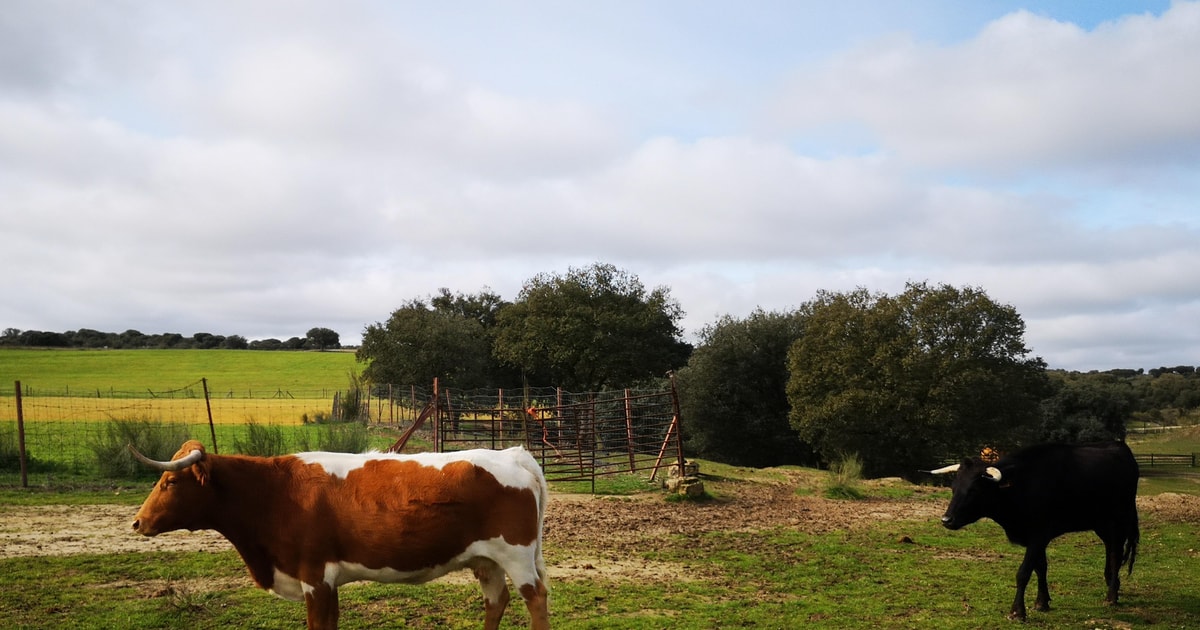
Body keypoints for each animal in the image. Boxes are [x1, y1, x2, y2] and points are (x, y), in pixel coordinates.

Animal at [130, 440, 550, 630]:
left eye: (170, 481)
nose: (137, 523)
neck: (274, 493)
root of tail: (513, 454)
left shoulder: (314, 577)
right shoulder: (326, 581)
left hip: (516, 555)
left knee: (535, 597)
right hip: (486, 559)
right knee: (496, 600)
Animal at [928, 441, 1139, 620]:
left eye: (974, 490)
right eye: (954, 488)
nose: (946, 520)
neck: (1022, 487)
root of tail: (1119, 446)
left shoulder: (1039, 535)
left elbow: (1023, 572)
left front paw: (1017, 612)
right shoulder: (1034, 538)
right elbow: (1040, 568)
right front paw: (1042, 602)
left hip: (1119, 519)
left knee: (1116, 553)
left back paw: (1111, 595)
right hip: (1101, 523)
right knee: (1110, 547)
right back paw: (1112, 584)